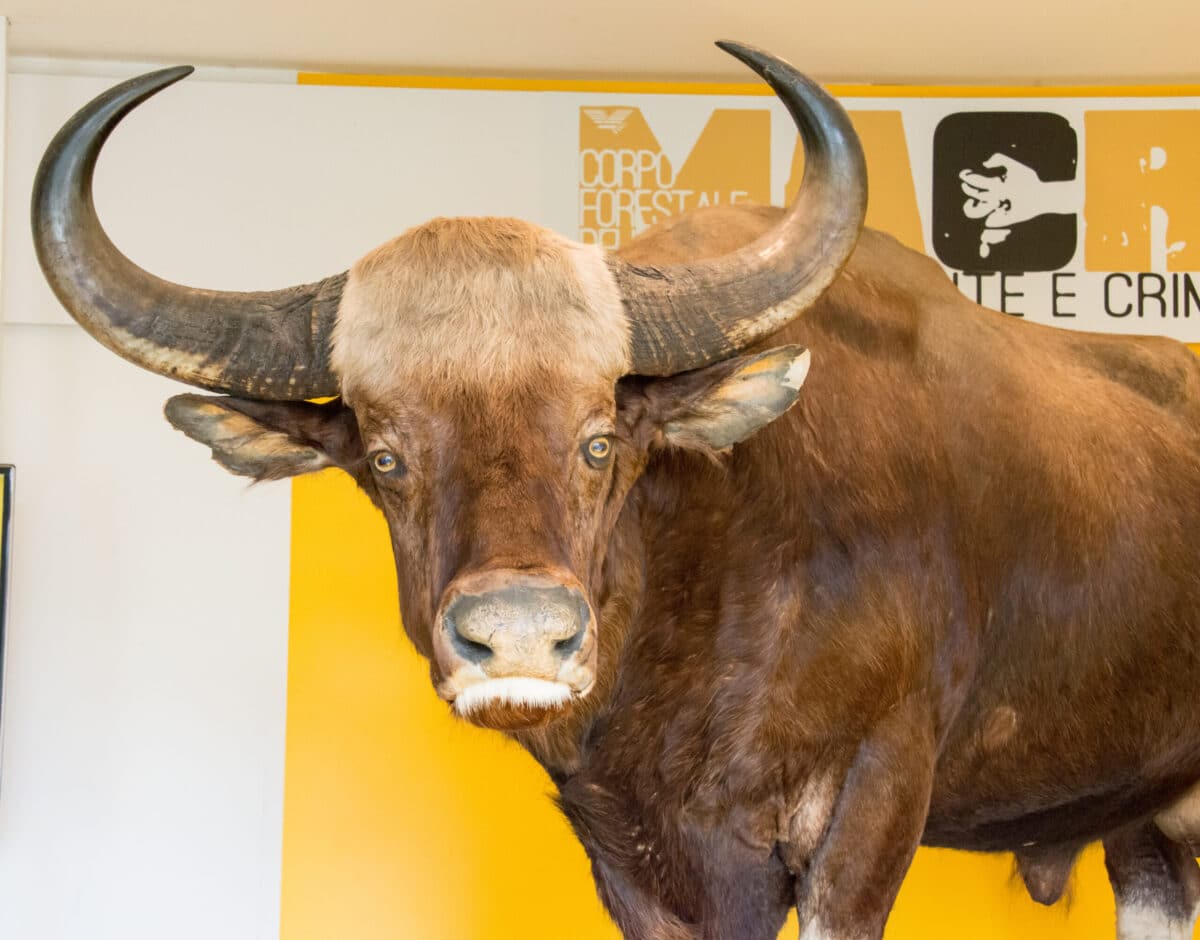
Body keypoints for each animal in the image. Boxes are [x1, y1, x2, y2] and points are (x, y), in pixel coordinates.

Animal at [31, 41, 1200, 940]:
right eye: (386, 457)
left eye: (600, 441)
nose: (517, 636)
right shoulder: (635, 857)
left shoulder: (872, 804)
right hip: (1150, 832)